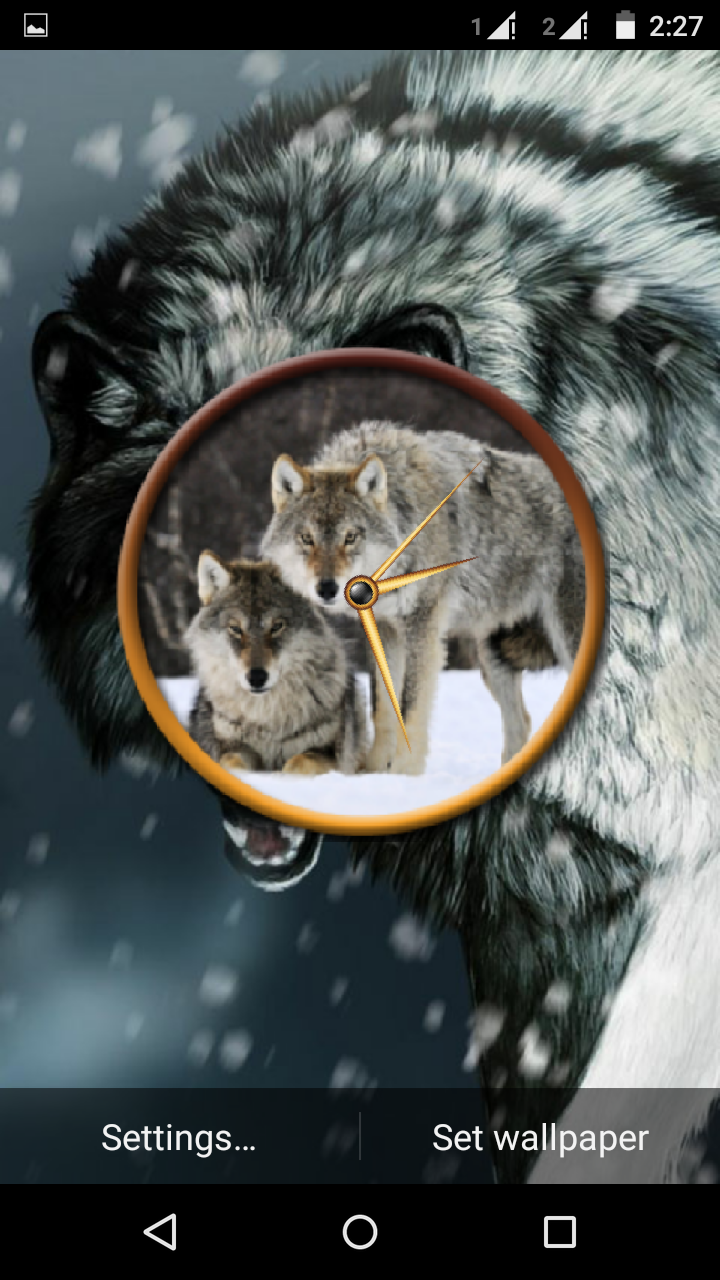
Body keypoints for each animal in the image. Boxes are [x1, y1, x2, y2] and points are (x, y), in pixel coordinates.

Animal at [184, 553, 366, 778]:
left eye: (277, 626)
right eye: (235, 629)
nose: (256, 677)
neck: (266, 718)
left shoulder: (327, 754)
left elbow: (298, 763)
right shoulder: (232, 747)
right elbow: (232, 762)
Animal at [261, 423, 584, 772]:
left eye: (351, 537)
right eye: (307, 538)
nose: (326, 588)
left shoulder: (423, 624)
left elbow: (411, 706)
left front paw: (404, 773)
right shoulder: (385, 628)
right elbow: (383, 706)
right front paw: (373, 772)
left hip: (564, 641)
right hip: (493, 657)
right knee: (522, 722)